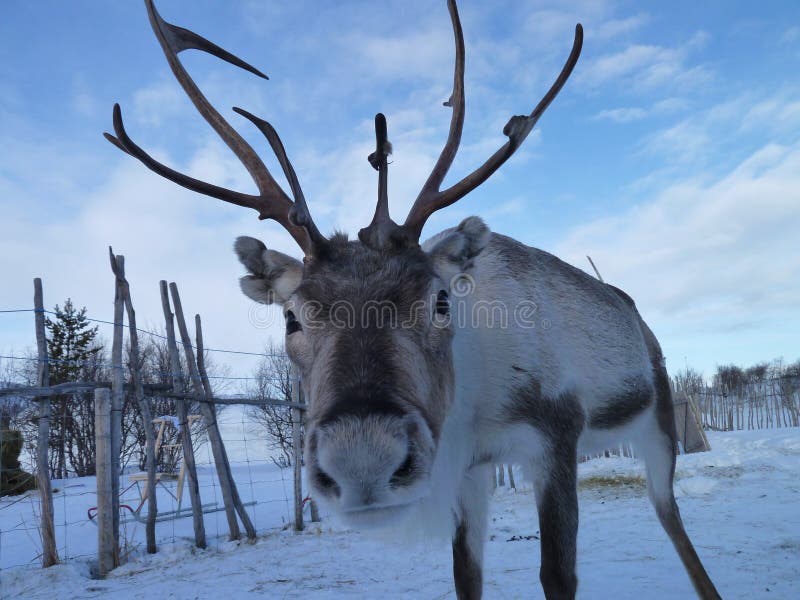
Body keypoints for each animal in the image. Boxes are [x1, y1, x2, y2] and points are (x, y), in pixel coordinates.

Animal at [105, 1, 722, 598]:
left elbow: (558, 575)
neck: (475, 401)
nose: (363, 462)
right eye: (291, 318)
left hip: (659, 416)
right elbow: (465, 574)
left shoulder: (555, 435)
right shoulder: (468, 468)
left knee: (671, 516)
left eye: (440, 301)